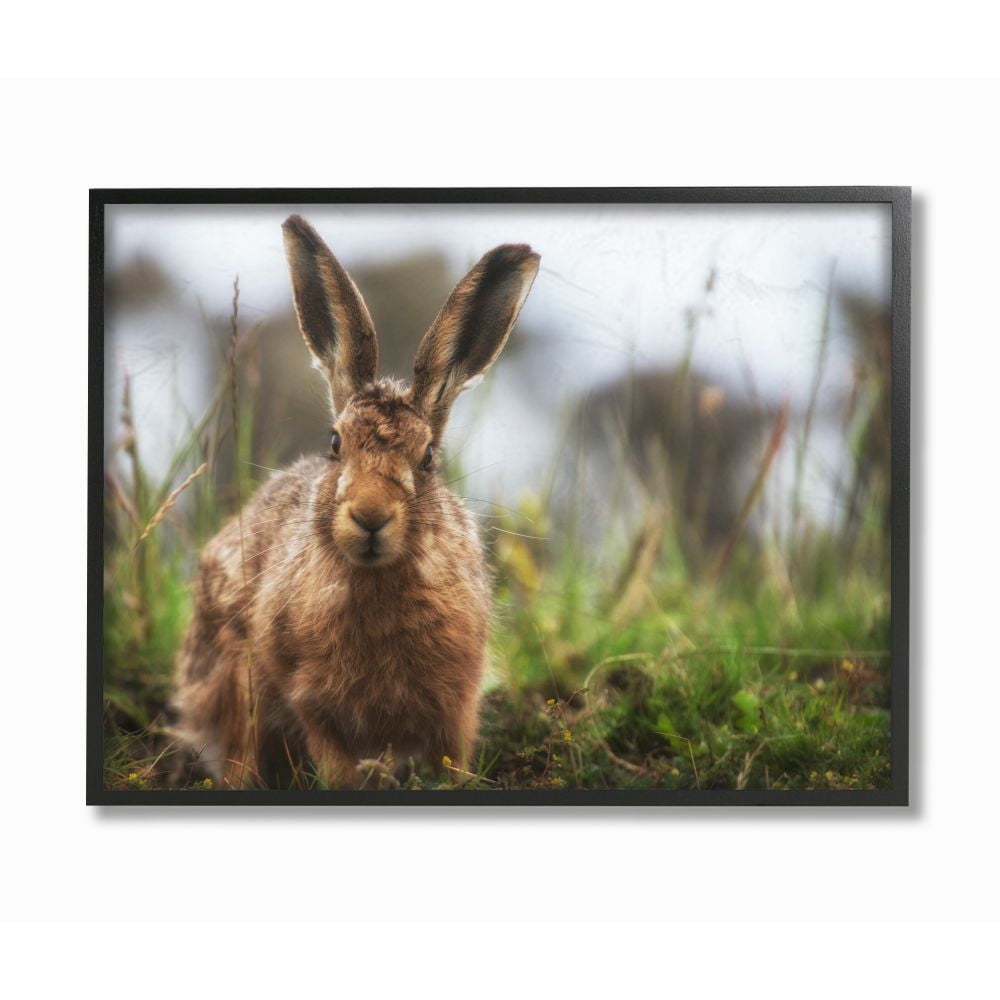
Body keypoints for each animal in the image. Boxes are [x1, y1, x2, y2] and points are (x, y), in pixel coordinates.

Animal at [170, 215, 540, 789]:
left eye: (428, 458)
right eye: (335, 444)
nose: (370, 516)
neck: (377, 583)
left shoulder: (456, 700)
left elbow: (452, 758)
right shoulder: (310, 699)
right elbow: (332, 758)